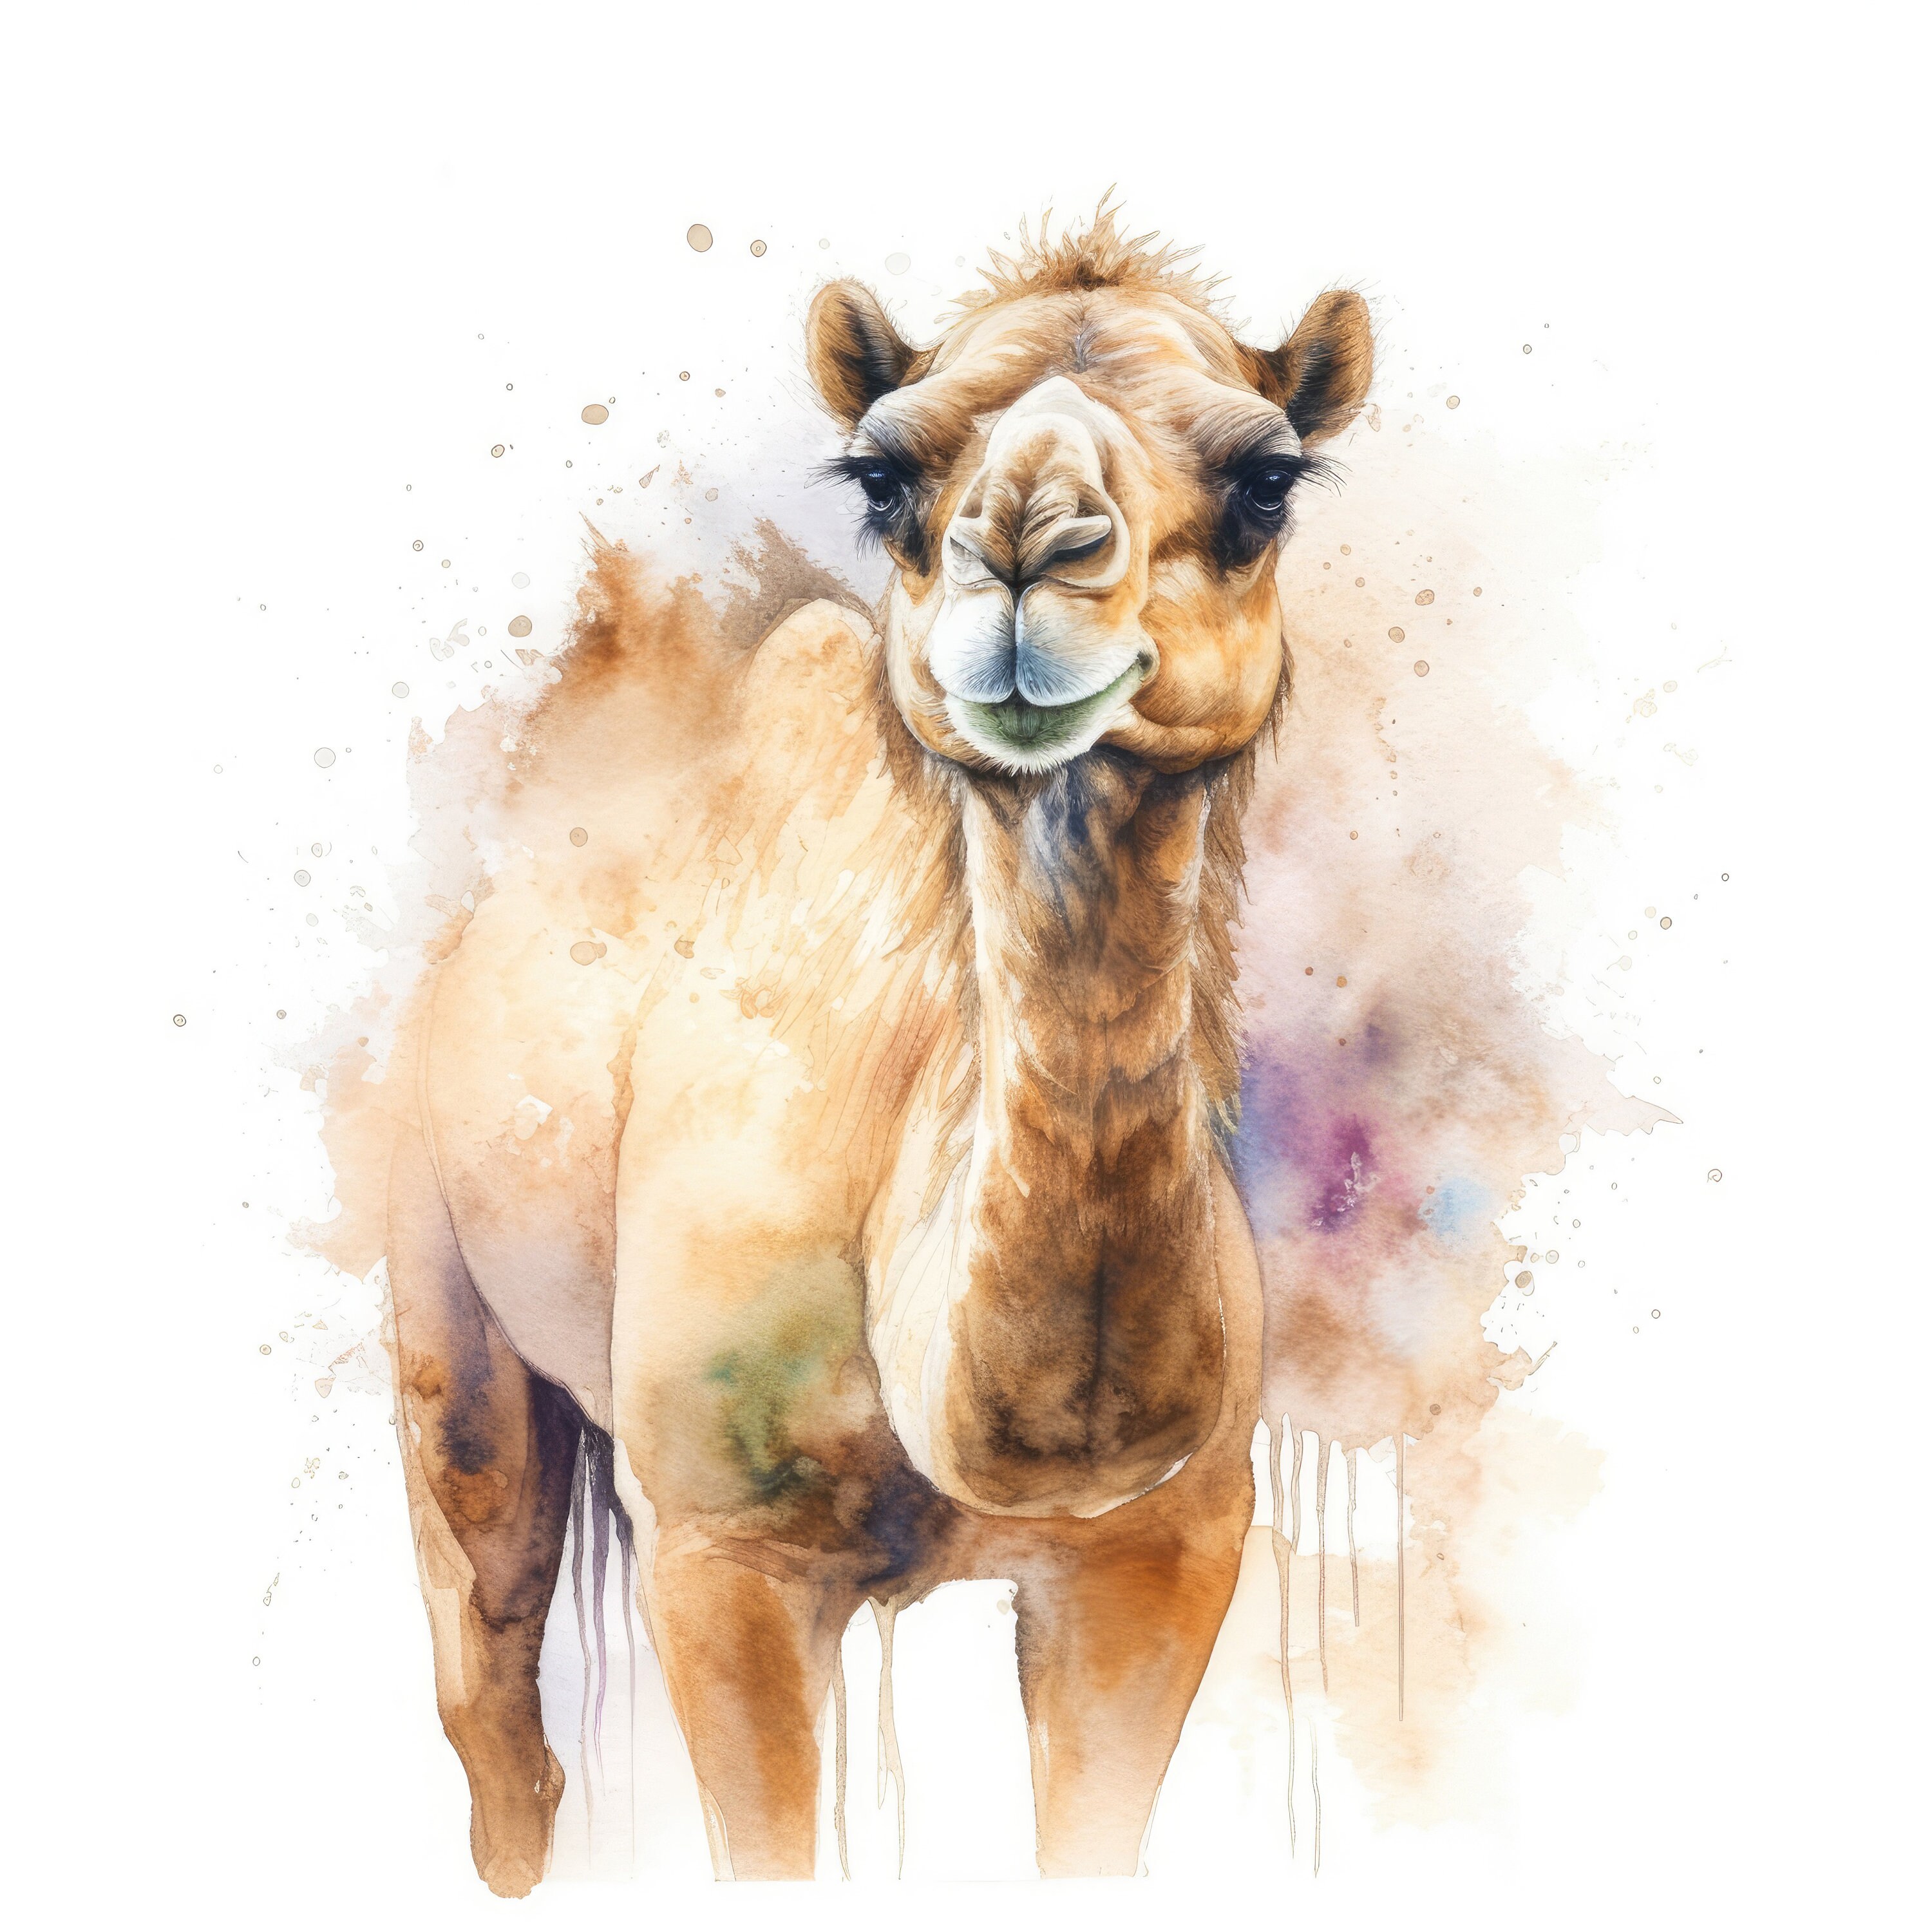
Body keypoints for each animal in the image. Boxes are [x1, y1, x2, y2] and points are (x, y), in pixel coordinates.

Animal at [385, 213, 1372, 1892]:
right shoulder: (723, 1547)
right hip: (430, 1279)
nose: (1028, 546)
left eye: (1265, 480)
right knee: (489, 1668)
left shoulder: (1159, 1548)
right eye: (884, 476)